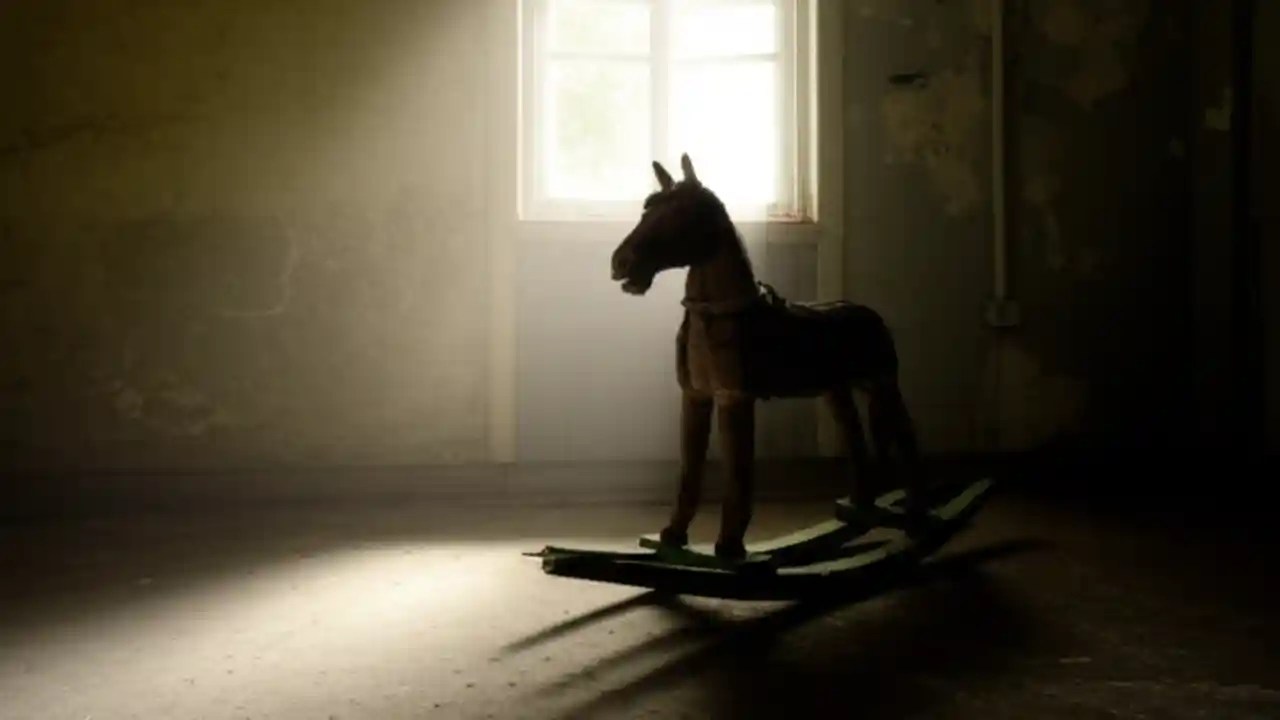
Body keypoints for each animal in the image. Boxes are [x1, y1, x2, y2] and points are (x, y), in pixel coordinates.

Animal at [610, 153, 926, 560]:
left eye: (679, 214)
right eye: (647, 209)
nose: (620, 263)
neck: (715, 315)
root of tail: (870, 314)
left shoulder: (734, 400)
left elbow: (738, 470)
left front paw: (729, 546)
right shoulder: (695, 398)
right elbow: (689, 470)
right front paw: (673, 535)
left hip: (883, 385)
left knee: (906, 438)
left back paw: (917, 513)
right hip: (837, 392)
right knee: (856, 441)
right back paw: (860, 505)